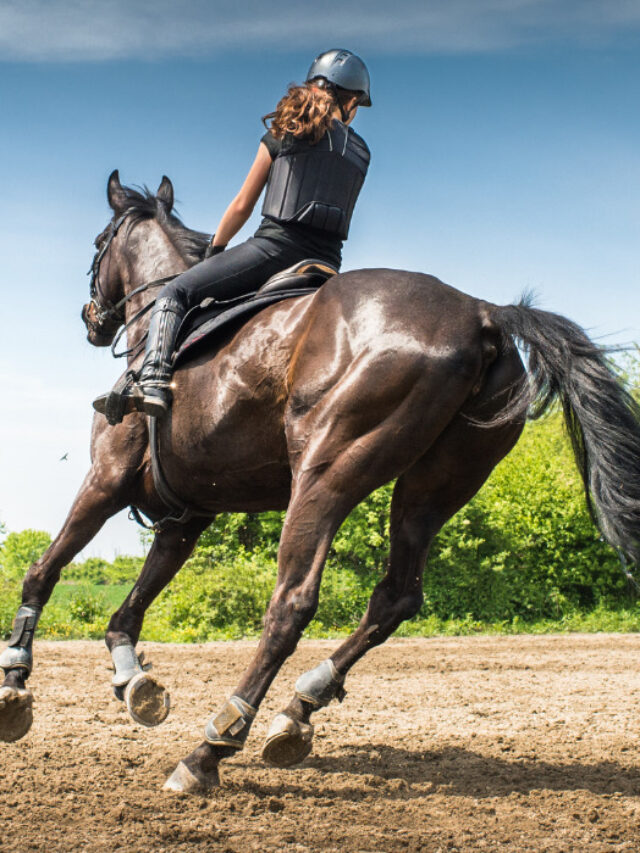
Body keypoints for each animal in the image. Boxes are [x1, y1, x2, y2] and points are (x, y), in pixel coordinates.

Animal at [1, 170, 639, 794]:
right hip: (432, 490)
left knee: (291, 605)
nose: (91, 319)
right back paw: (298, 708)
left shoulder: (105, 482)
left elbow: (43, 571)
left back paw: (213, 746)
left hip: (325, 475)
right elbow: (129, 610)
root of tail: (483, 313)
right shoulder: (188, 517)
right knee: (395, 597)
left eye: (97, 244)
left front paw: (15, 682)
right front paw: (134, 681)